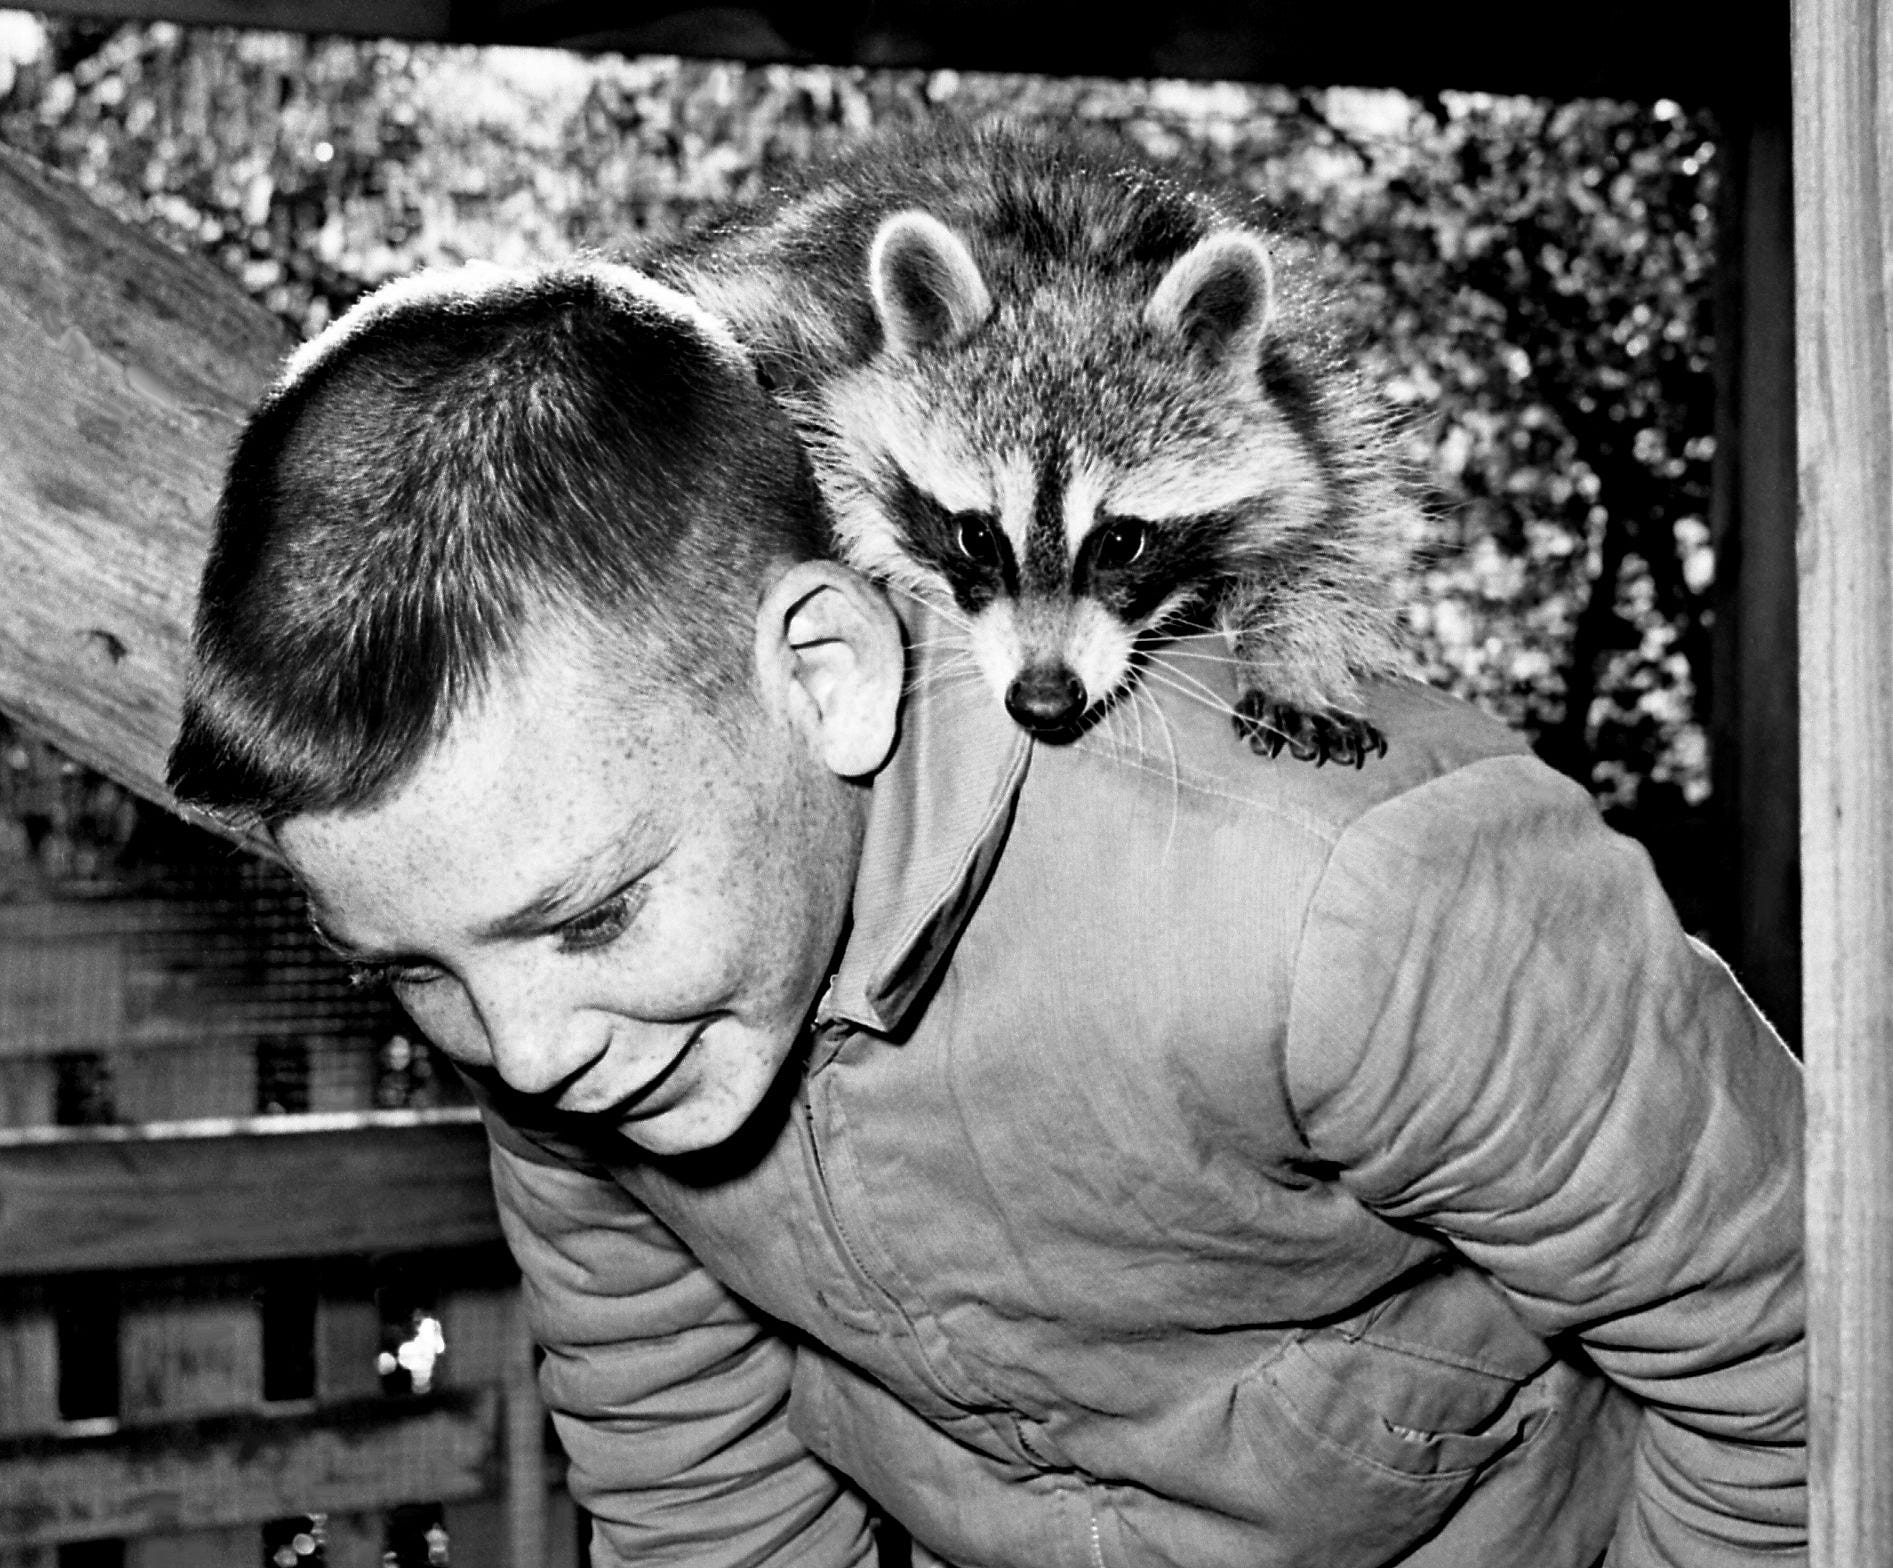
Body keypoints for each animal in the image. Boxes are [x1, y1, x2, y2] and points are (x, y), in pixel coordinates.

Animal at [644, 123, 1418, 765]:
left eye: (1122, 542)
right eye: (976, 536)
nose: (1043, 702)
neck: (1066, 270)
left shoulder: (1305, 389)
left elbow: (1341, 524)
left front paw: (1294, 656)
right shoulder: (796, 324)